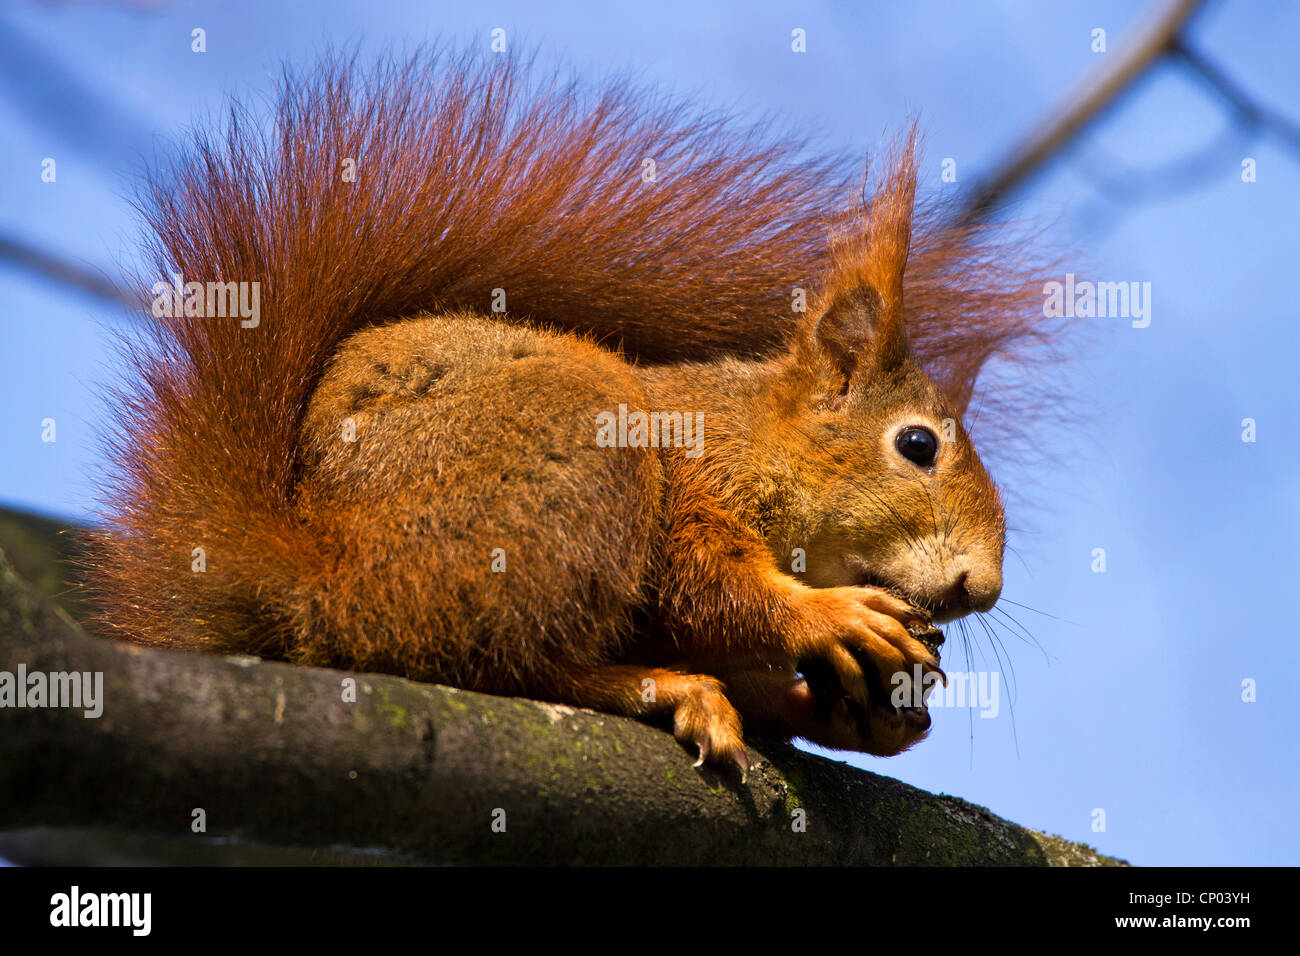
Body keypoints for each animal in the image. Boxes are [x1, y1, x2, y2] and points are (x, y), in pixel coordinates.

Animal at [81, 49, 1053, 773]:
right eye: (917, 444)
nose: (983, 588)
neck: (756, 436)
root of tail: (319, 579)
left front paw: (858, 715)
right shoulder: (694, 480)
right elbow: (703, 582)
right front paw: (831, 618)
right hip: (566, 461)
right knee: (506, 663)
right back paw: (662, 689)